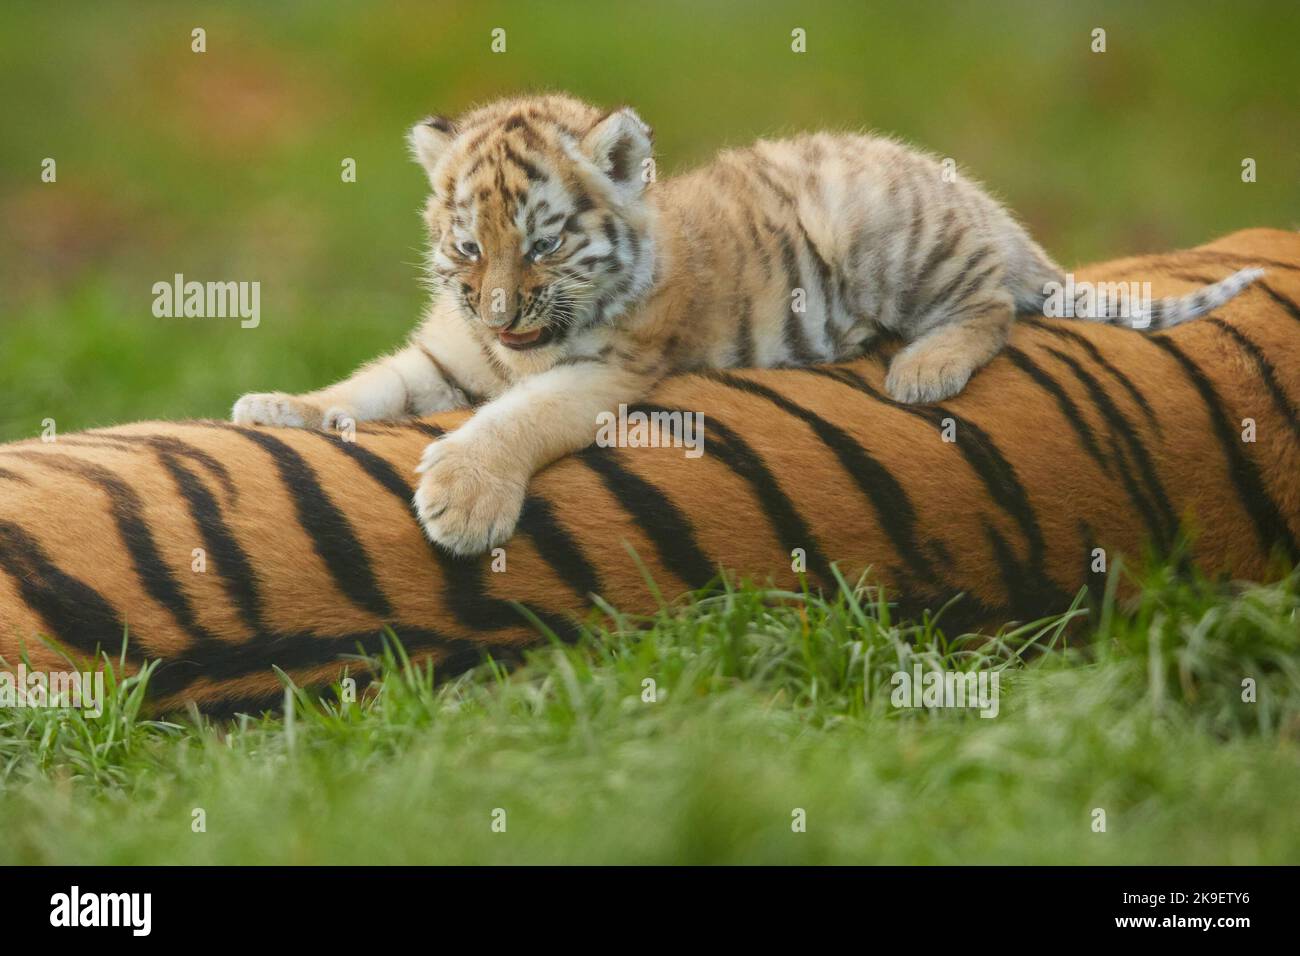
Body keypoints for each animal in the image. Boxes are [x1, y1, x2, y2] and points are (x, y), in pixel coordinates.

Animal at [229, 93, 1264, 557]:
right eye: (468, 247)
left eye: (545, 243)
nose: (501, 312)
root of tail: (981, 205)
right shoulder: (449, 354)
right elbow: (369, 385)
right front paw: (277, 406)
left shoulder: (610, 374)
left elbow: (516, 419)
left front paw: (465, 499)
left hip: (889, 236)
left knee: (994, 305)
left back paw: (923, 366)